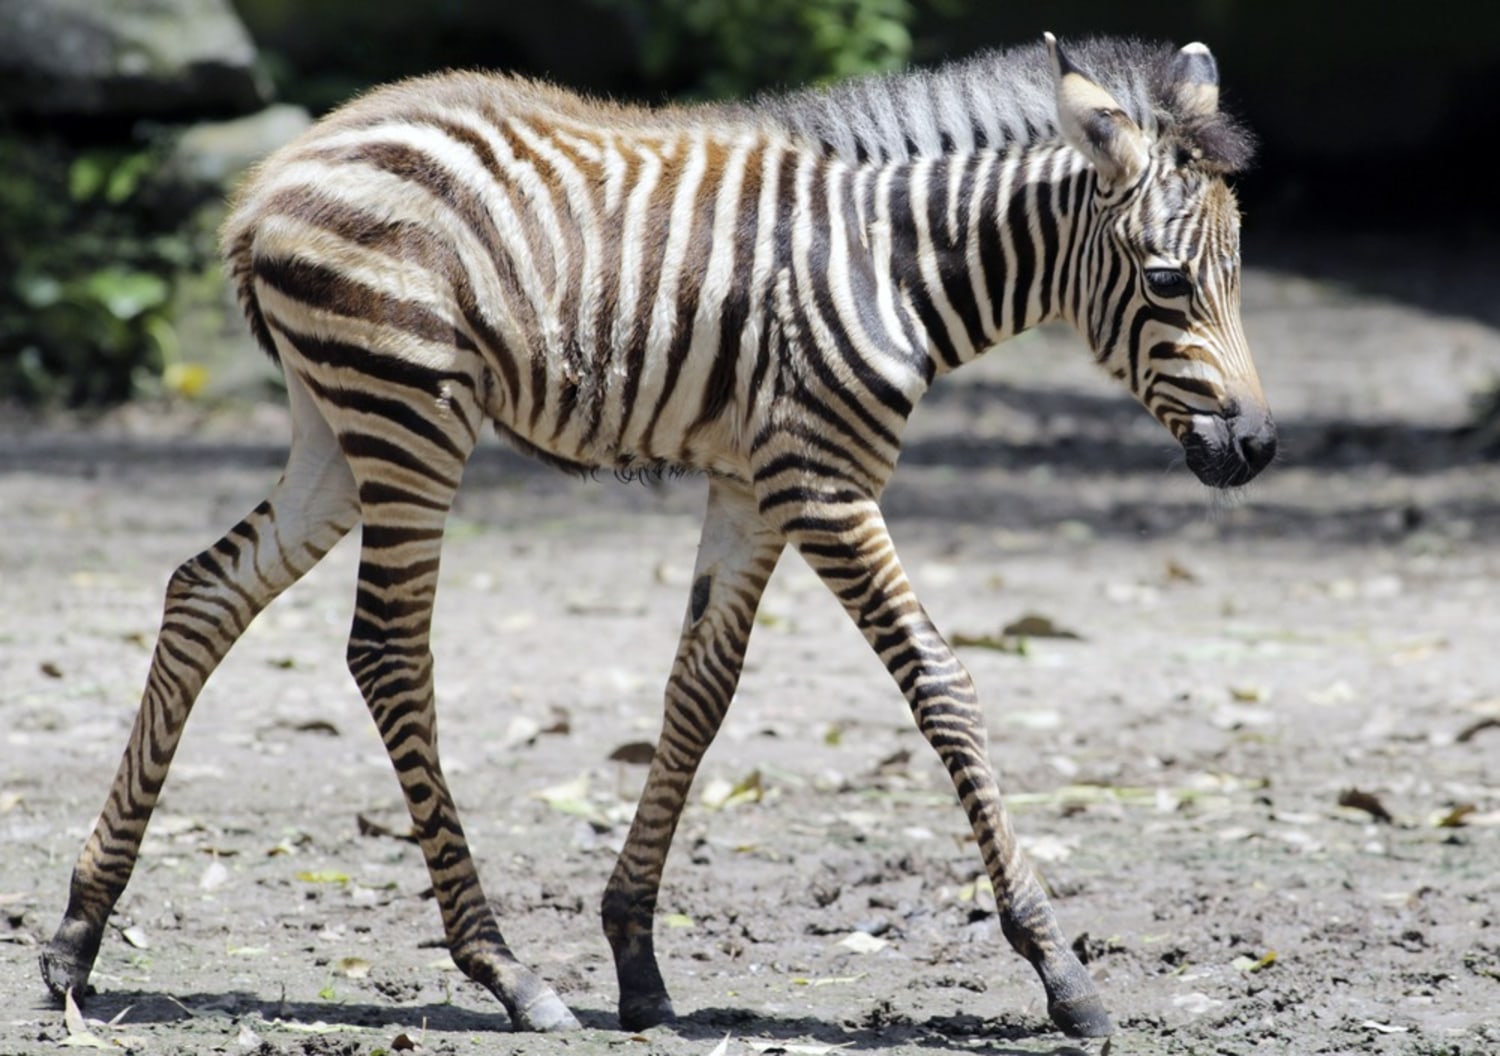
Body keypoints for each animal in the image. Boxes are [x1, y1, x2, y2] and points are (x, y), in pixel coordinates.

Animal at [41, 32, 1275, 1039]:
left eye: (1237, 274)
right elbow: (940, 681)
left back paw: (75, 941)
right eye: (1168, 281)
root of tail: (273, 180)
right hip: (408, 415)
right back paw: (507, 974)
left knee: (203, 592)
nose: (1258, 447)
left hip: (334, 434)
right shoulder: (823, 480)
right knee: (385, 651)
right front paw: (1060, 969)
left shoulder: (751, 483)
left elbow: (700, 693)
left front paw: (636, 956)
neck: (897, 269)